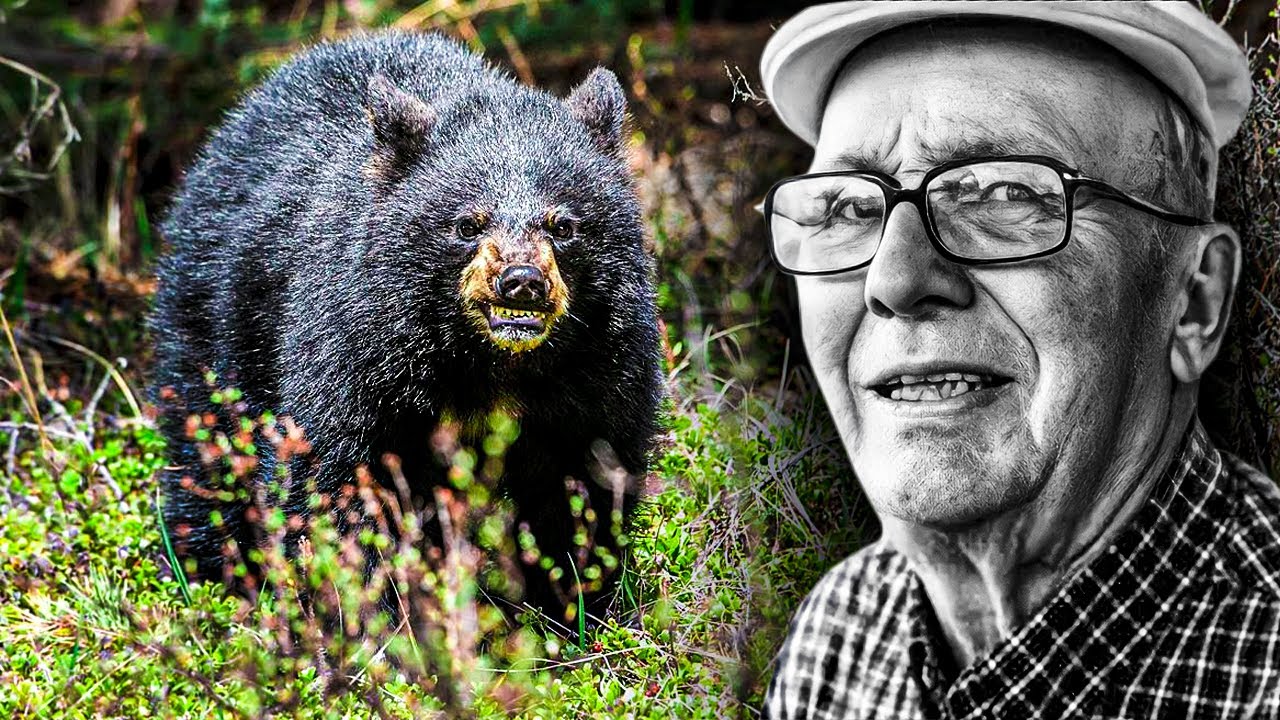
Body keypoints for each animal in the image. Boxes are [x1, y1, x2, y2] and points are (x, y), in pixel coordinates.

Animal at [150, 30, 664, 622]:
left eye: (563, 225)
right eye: (467, 224)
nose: (521, 281)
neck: (491, 364)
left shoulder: (602, 365)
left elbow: (586, 483)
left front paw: (575, 607)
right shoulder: (355, 350)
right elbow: (345, 483)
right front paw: (372, 614)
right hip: (215, 316)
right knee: (205, 449)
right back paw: (208, 575)